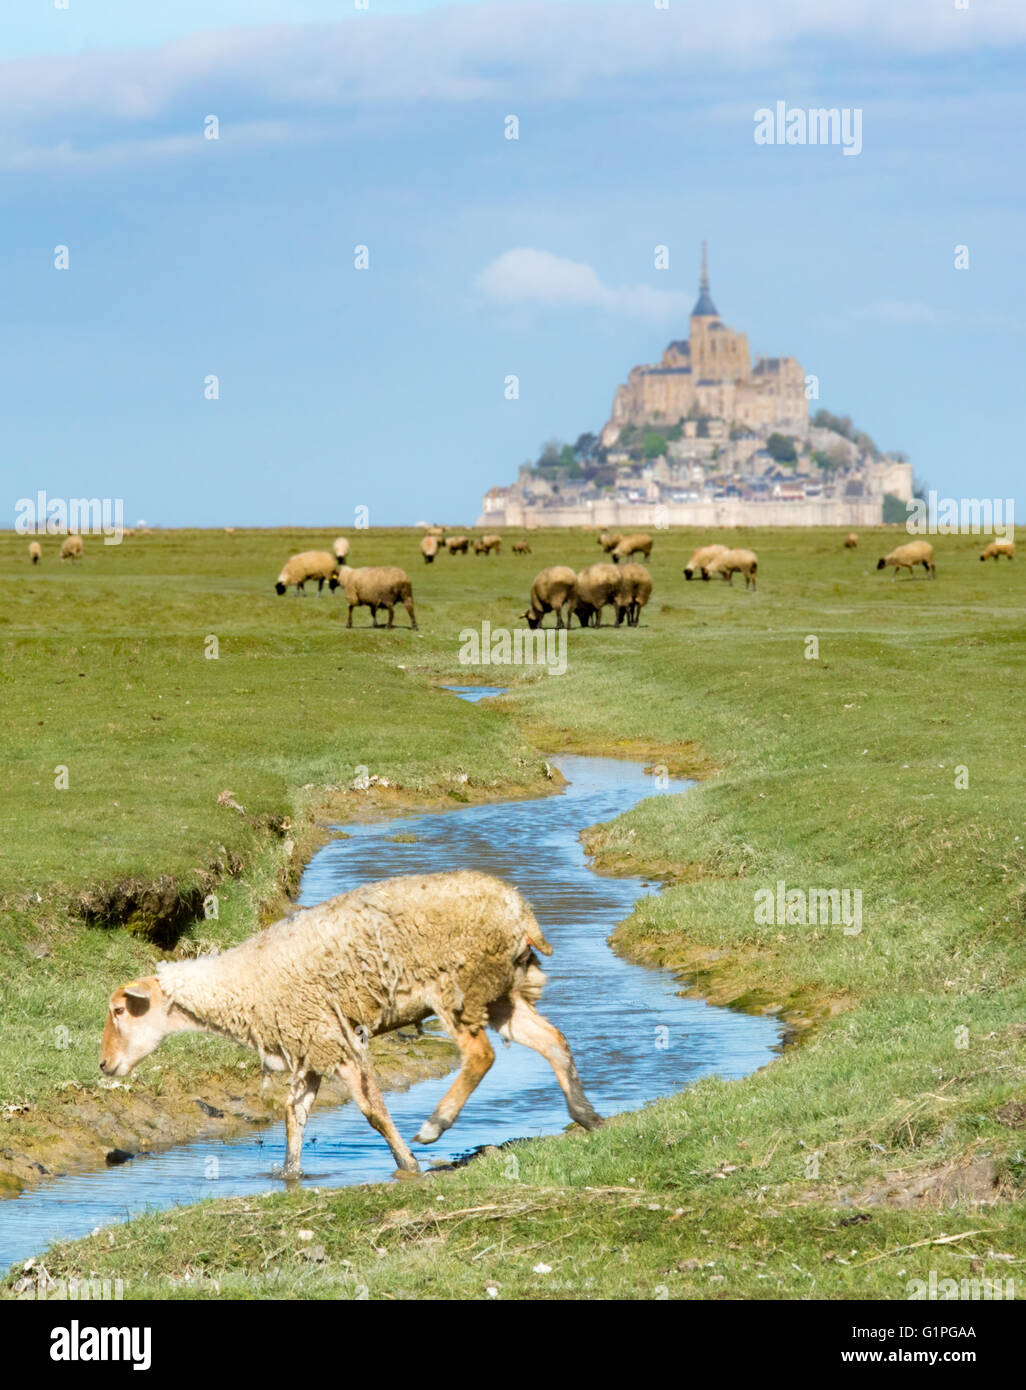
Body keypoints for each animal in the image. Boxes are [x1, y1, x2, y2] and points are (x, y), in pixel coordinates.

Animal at [99, 871, 600, 1177]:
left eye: (120, 1011)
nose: (103, 1065)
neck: (244, 985)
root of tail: (521, 913)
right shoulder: (308, 1044)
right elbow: (294, 1115)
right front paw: (290, 1173)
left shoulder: (329, 1037)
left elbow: (372, 1110)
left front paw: (407, 1164)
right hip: (500, 990)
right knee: (552, 1039)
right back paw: (586, 1115)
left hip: (459, 986)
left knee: (481, 1055)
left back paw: (435, 1125)